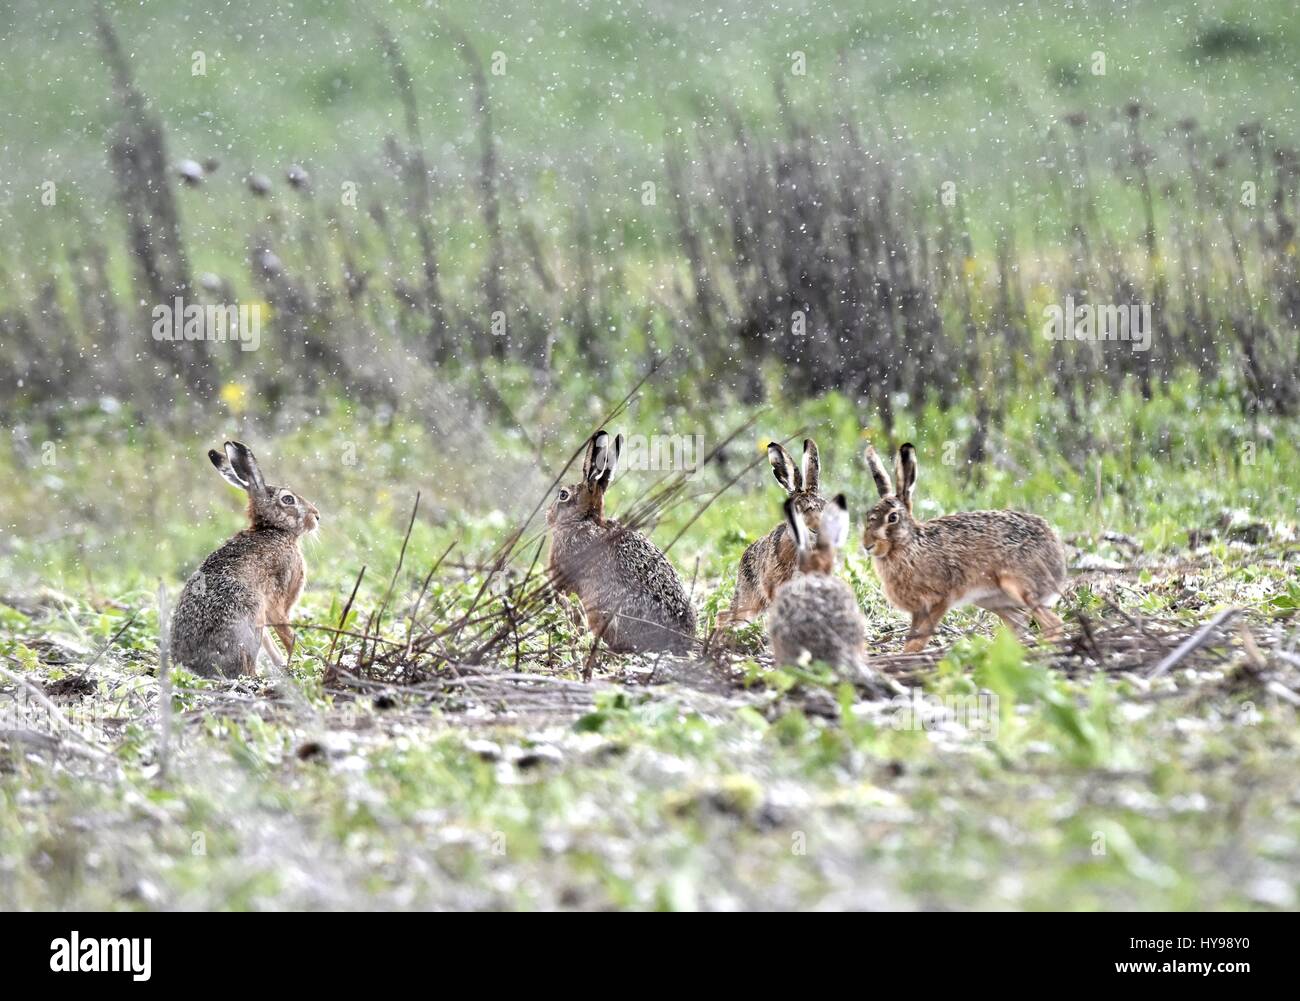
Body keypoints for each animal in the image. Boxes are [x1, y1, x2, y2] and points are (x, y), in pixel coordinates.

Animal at [169, 441, 320, 677]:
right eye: (288, 499)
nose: (316, 516)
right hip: (250, 610)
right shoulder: (276, 598)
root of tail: (192, 666)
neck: (273, 529)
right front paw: (303, 658)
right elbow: (286, 631)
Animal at [862, 442, 1066, 653]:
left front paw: (910, 653)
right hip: (991, 599)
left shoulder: (942, 598)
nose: (867, 546)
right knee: (1019, 623)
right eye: (868, 516)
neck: (909, 545)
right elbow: (913, 634)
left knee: (1053, 624)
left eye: (892, 517)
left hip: (1018, 585)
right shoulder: (918, 610)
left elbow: (921, 636)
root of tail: (1058, 557)